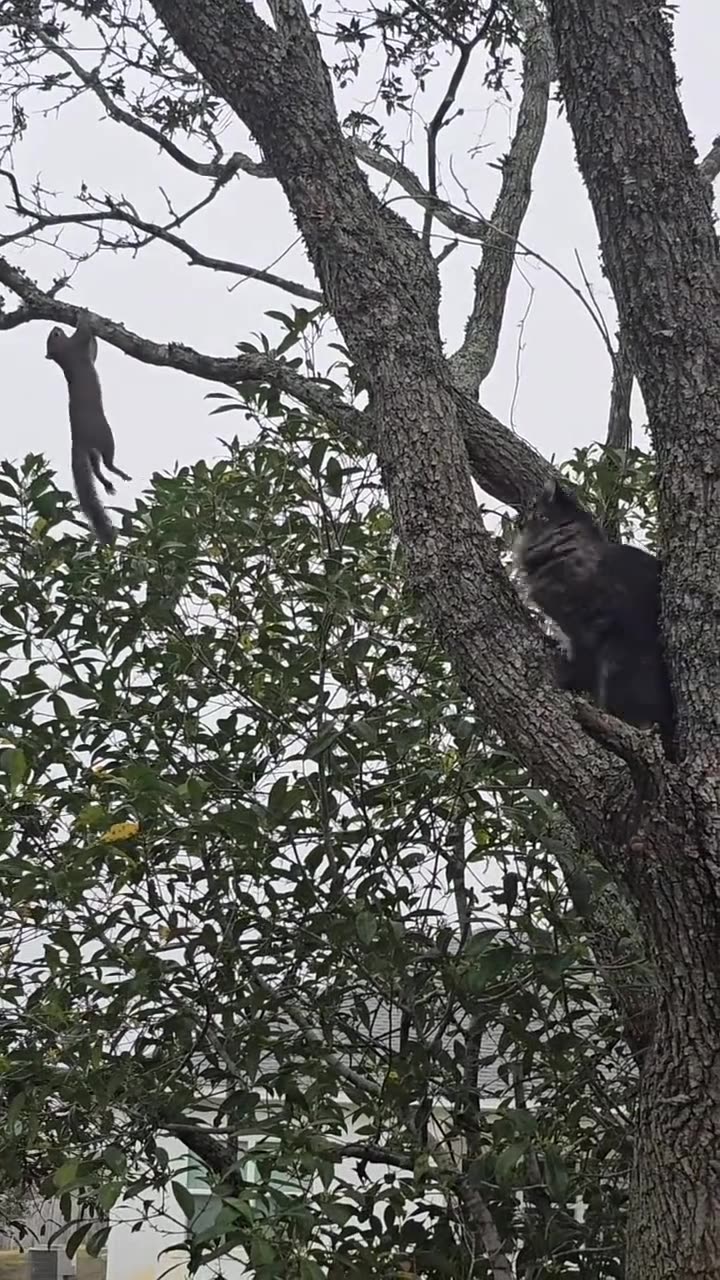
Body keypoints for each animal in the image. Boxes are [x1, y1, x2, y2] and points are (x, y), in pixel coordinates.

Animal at [46, 318, 131, 545]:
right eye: (54, 335)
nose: (56, 326)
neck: (63, 356)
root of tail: (78, 443)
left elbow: (94, 351)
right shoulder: (76, 346)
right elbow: (85, 335)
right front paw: (83, 316)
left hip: (93, 451)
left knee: (97, 469)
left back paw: (108, 484)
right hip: (106, 438)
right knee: (107, 463)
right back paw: (119, 473)